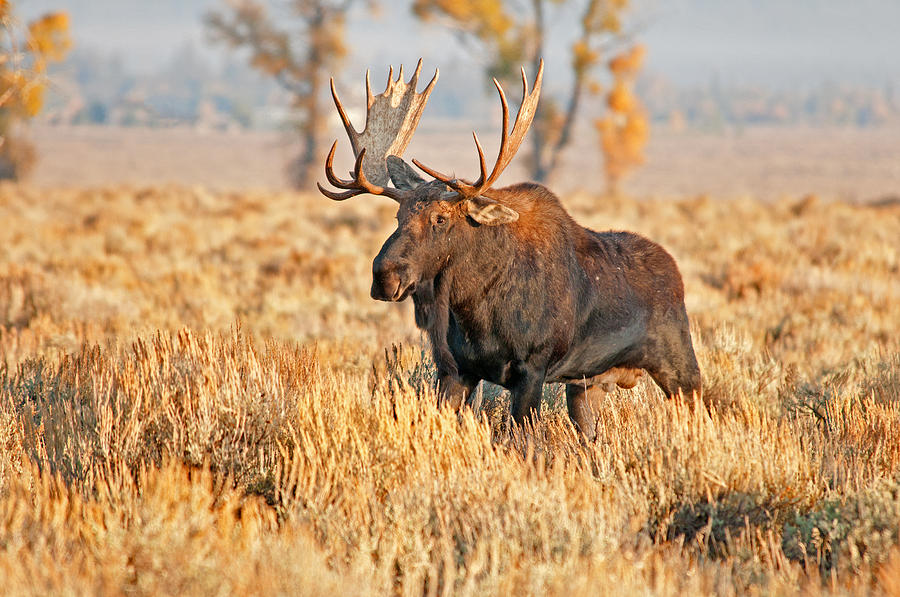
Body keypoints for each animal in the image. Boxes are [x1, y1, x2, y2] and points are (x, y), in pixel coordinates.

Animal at [318, 60, 701, 441]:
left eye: (440, 218)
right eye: (398, 215)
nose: (384, 275)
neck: (475, 310)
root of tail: (677, 275)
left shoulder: (531, 369)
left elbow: (524, 442)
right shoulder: (455, 370)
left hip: (681, 368)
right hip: (586, 385)